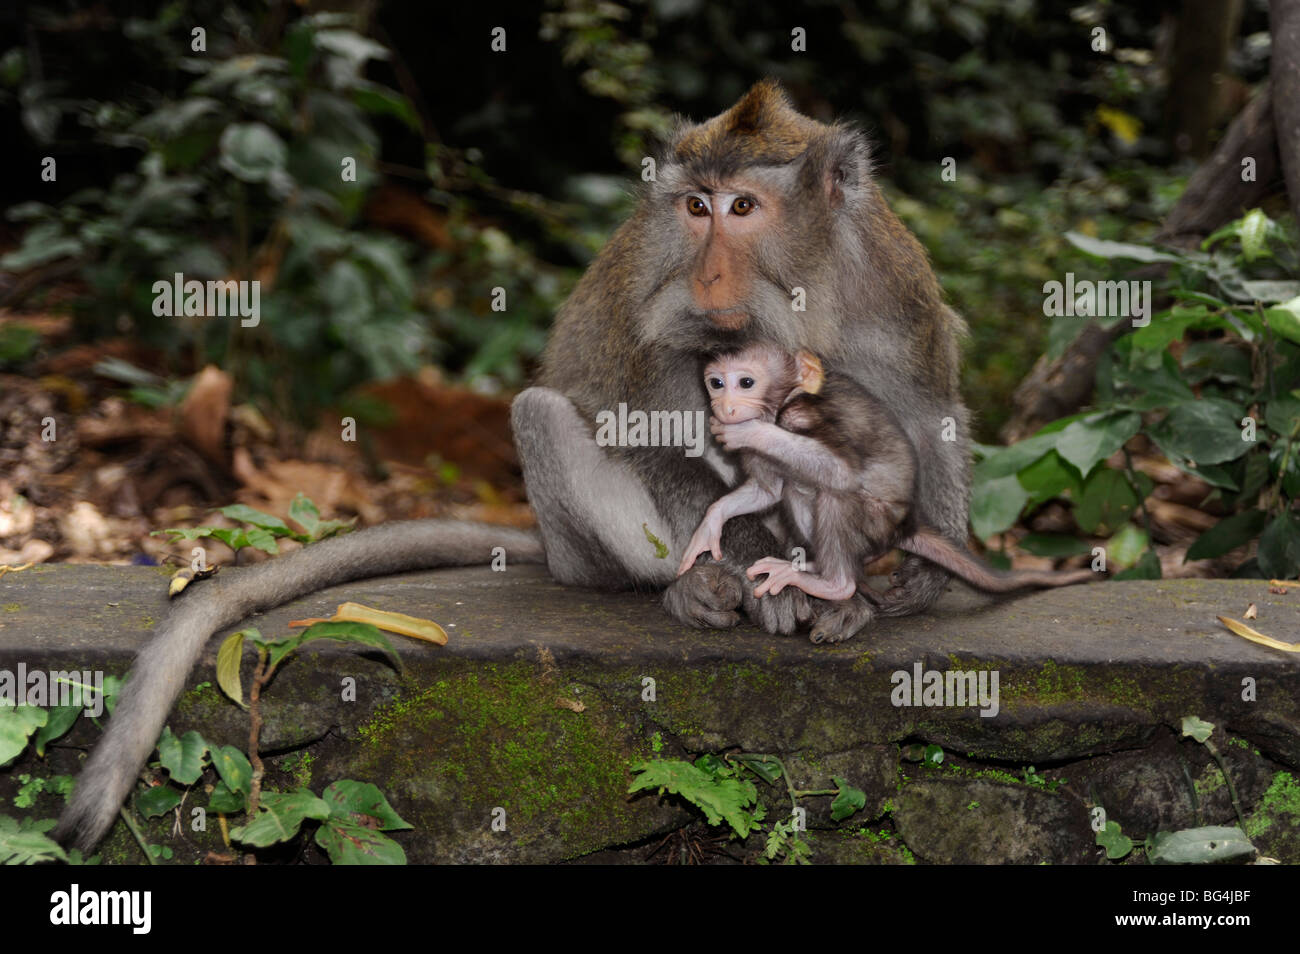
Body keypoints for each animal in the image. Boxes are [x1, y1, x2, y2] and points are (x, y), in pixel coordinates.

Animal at [57, 79, 972, 851]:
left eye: (743, 207)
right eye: (696, 207)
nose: (710, 270)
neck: (794, 298)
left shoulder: (891, 285)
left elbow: (925, 410)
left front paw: (919, 572)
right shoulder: (662, 305)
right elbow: (634, 412)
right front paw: (756, 573)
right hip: (583, 545)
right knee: (547, 420)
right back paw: (690, 586)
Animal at [676, 344, 1095, 642]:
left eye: (745, 382)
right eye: (716, 383)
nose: (725, 406)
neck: (780, 403)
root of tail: (904, 526)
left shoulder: (800, 415)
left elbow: (843, 472)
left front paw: (752, 431)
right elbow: (768, 490)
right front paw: (712, 521)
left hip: (876, 520)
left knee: (835, 494)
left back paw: (833, 583)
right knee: (799, 488)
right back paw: (815, 567)